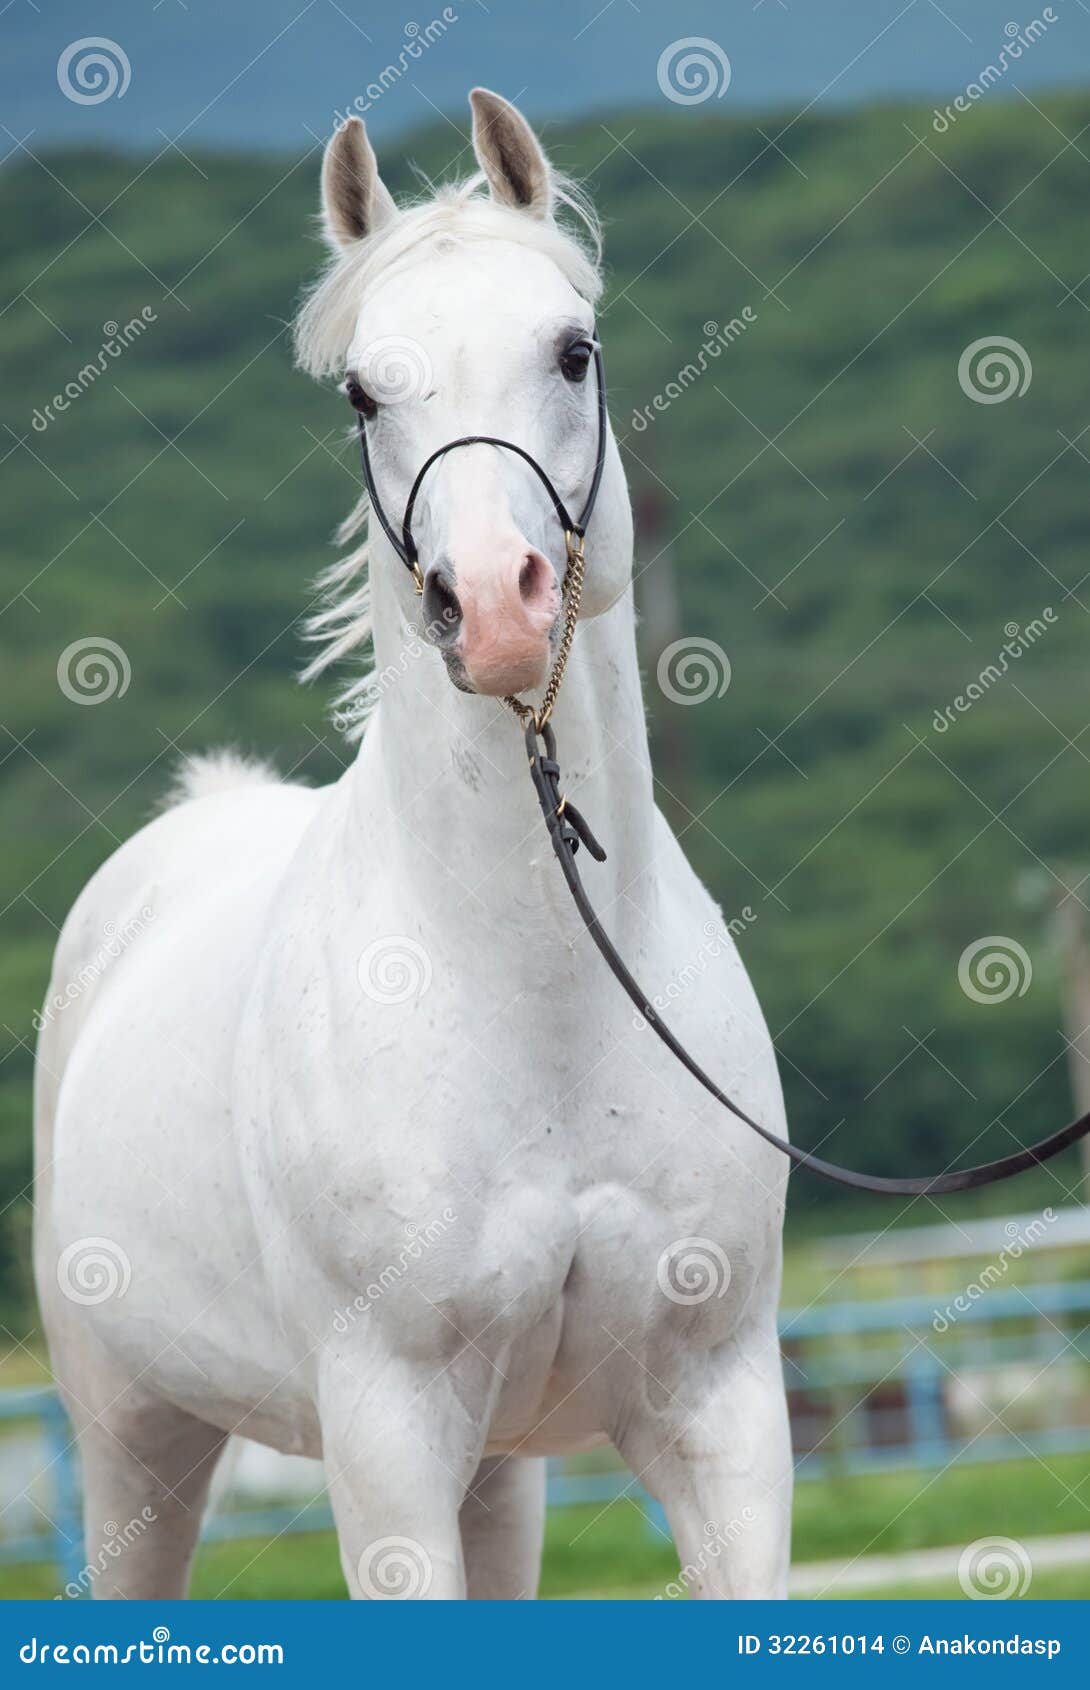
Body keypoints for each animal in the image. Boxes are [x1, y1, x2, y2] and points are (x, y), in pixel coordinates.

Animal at [34, 88, 792, 1600]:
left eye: (572, 349)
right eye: (362, 395)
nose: (494, 608)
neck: (538, 996)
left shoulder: (721, 1407)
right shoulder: (386, 1430)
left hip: (497, 1469)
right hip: (136, 1439)